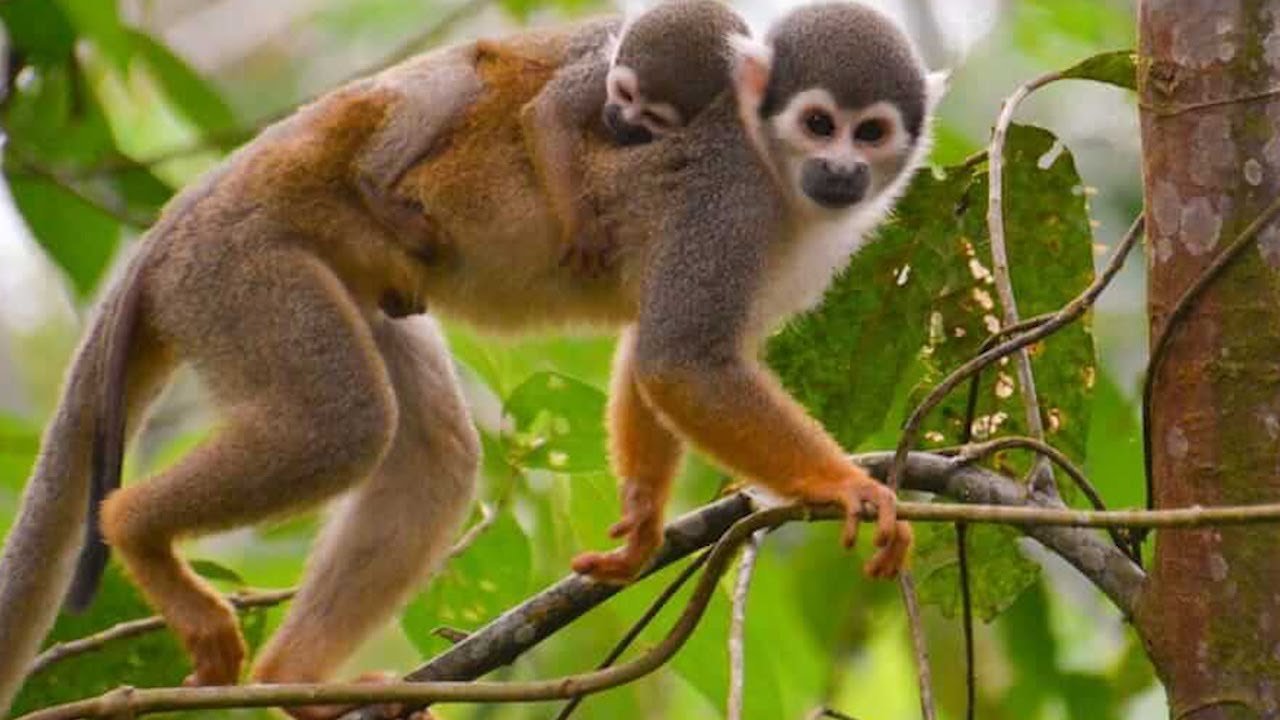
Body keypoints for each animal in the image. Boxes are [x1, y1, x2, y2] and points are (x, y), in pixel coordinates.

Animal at [0, 4, 942, 718]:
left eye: (871, 132)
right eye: (818, 124)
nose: (842, 172)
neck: (781, 181)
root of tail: (181, 218)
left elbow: (656, 355)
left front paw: (640, 525)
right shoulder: (728, 201)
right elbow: (683, 362)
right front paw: (846, 487)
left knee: (433, 451)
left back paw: (295, 681)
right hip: (237, 268)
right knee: (343, 426)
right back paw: (136, 531)